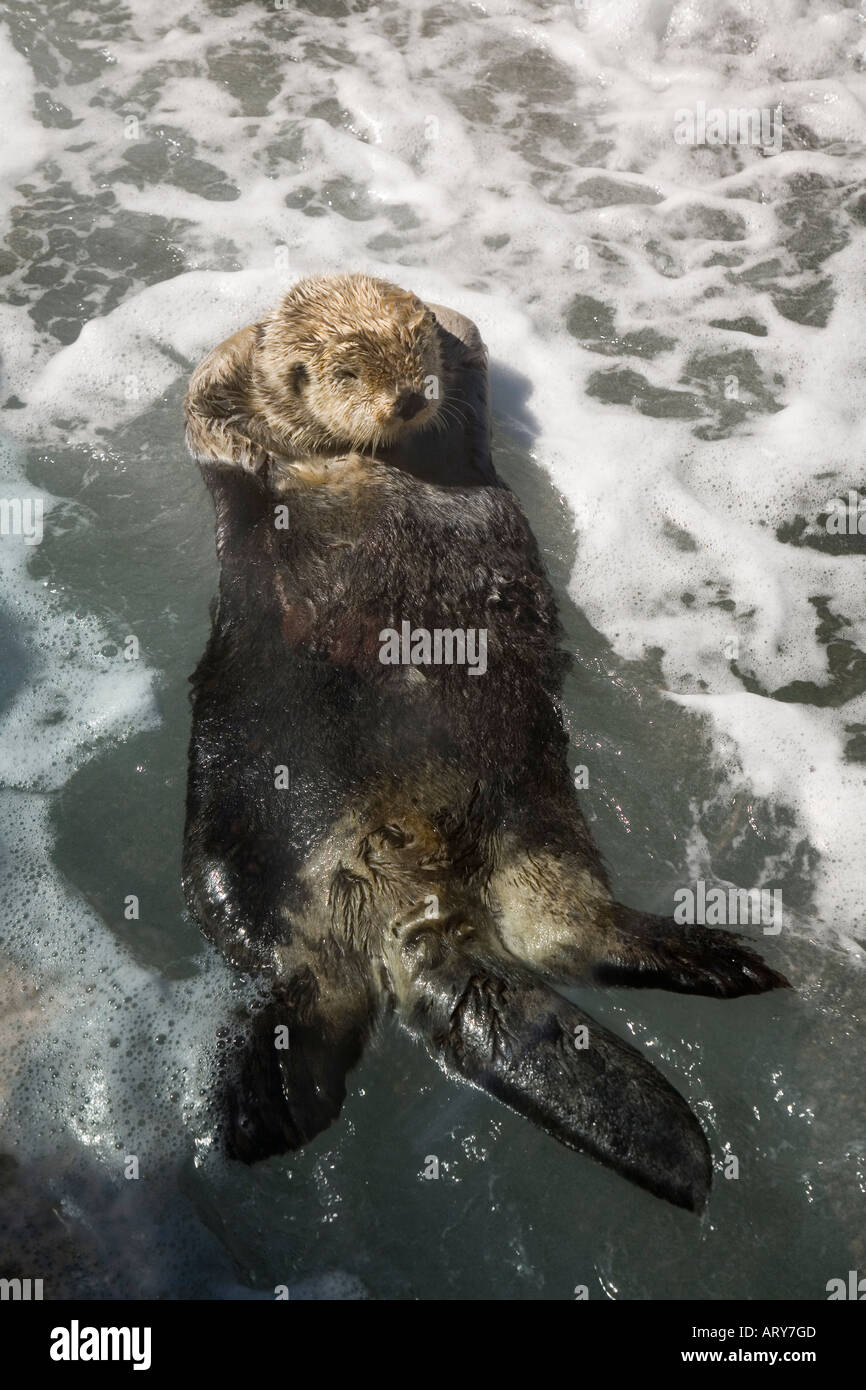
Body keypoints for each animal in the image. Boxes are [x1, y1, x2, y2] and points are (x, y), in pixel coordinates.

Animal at [183, 313, 789, 1213]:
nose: (400, 393)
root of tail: (412, 906)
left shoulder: (457, 430)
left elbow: (465, 386)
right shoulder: (232, 455)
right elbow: (212, 411)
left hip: (531, 810)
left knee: (558, 932)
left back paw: (714, 960)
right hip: (232, 855)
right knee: (319, 980)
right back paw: (270, 1101)